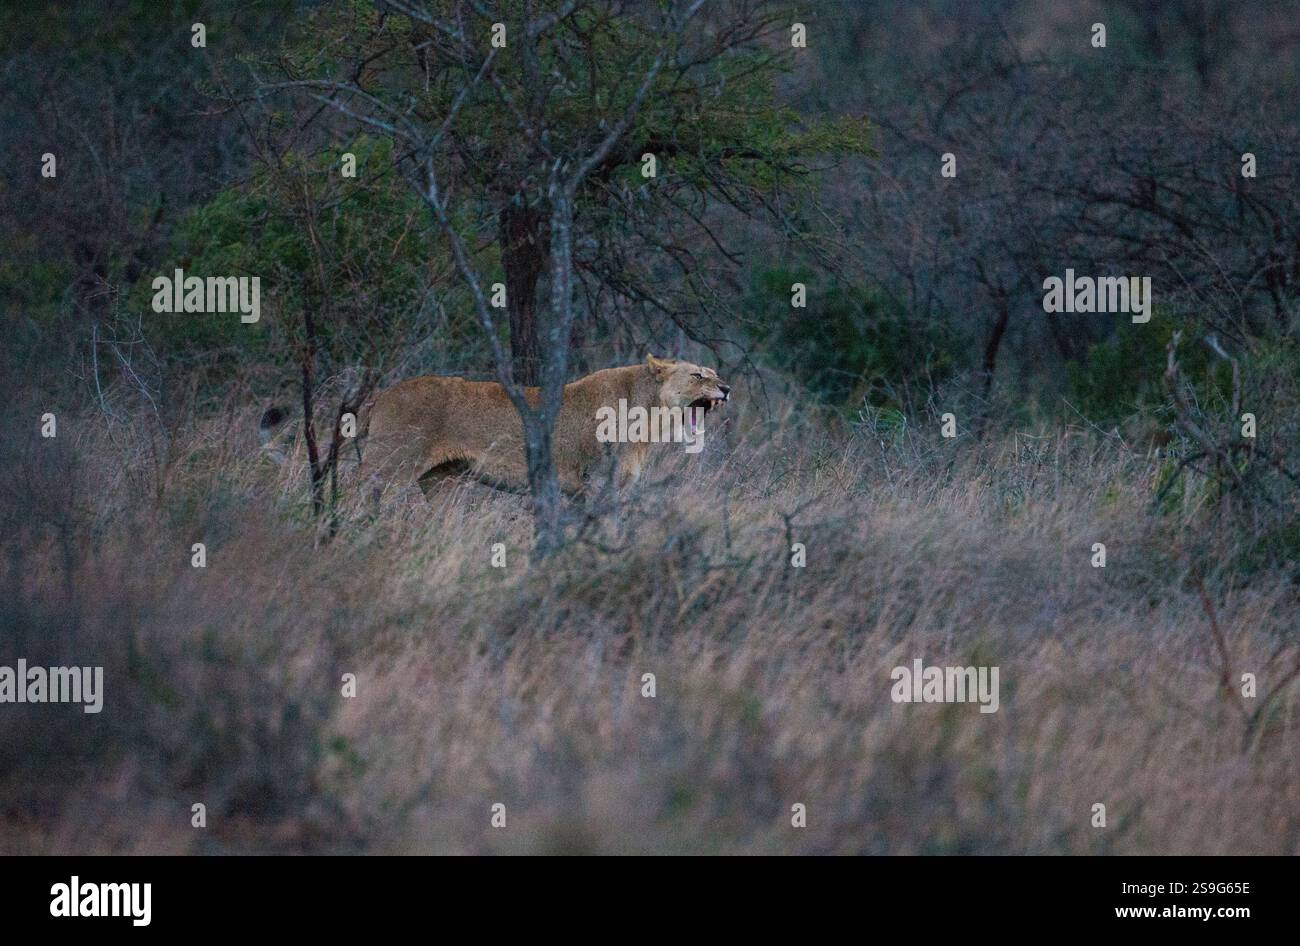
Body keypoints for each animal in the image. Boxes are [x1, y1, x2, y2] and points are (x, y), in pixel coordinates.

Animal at [361, 355, 731, 495]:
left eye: (715, 374)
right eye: (698, 376)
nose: (726, 388)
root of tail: (382, 393)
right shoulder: (599, 483)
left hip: (438, 481)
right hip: (389, 467)